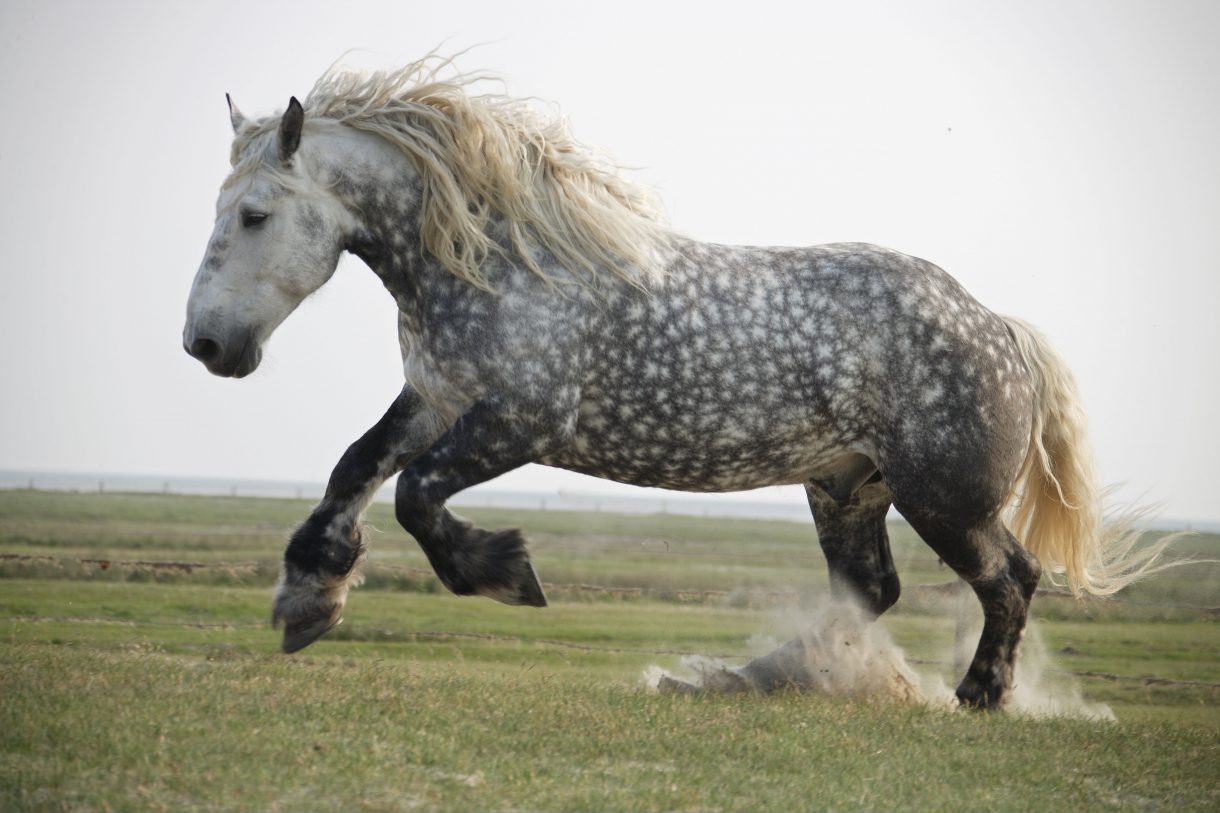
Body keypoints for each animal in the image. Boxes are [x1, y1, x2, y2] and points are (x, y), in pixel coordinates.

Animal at [184, 55, 1171, 710]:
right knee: (873, 588)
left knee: (1010, 577)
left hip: (945, 499)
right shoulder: (439, 399)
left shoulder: (521, 419)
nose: (205, 343)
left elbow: (416, 497)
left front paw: (506, 571)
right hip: (846, 487)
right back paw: (762, 676)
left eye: (255, 214)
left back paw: (978, 694)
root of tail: (997, 324)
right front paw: (308, 598)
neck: (497, 263)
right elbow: (355, 468)